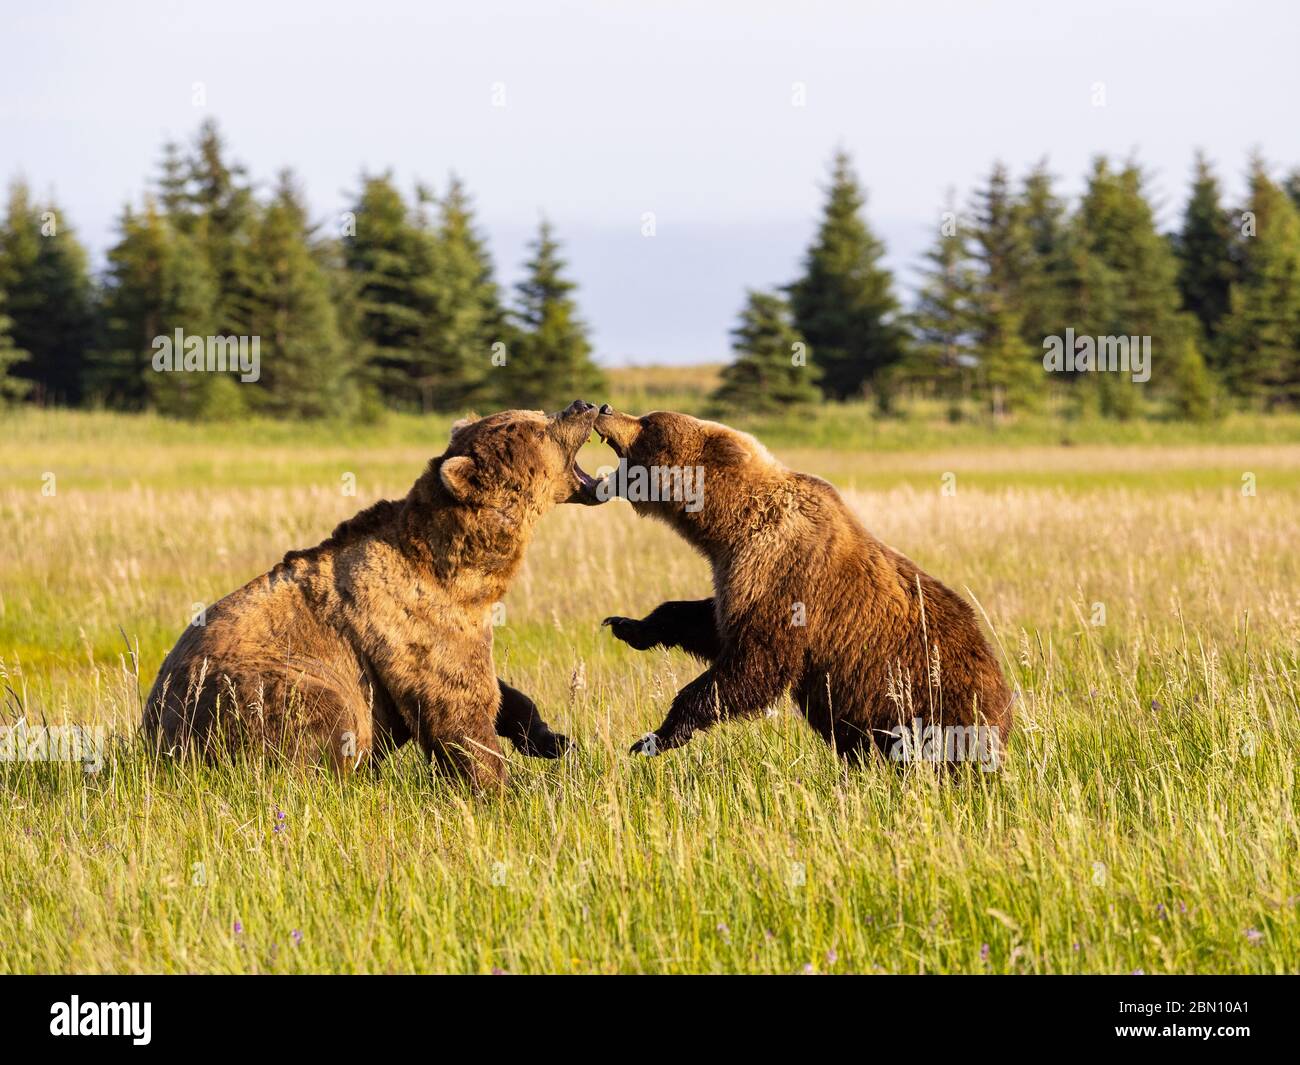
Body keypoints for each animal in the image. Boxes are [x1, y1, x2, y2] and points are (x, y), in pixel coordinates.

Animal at [143, 400, 606, 790]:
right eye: (537, 427)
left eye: (538, 413)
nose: (583, 405)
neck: (461, 570)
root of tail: (152, 735)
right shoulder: (410, 622)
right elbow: (459, 709)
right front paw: (501, 787)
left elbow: (500, 691)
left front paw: (553, 739)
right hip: (253, 688)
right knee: (327, 717)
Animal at [593, 405, 1012, 767]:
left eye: (648, 422)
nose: (604, 408)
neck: (727, 527)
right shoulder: (739, 576)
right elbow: (708, 623)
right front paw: (628, 625)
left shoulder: (785, 573)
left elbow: (757, 662)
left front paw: (656, 736)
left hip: (931, 699)